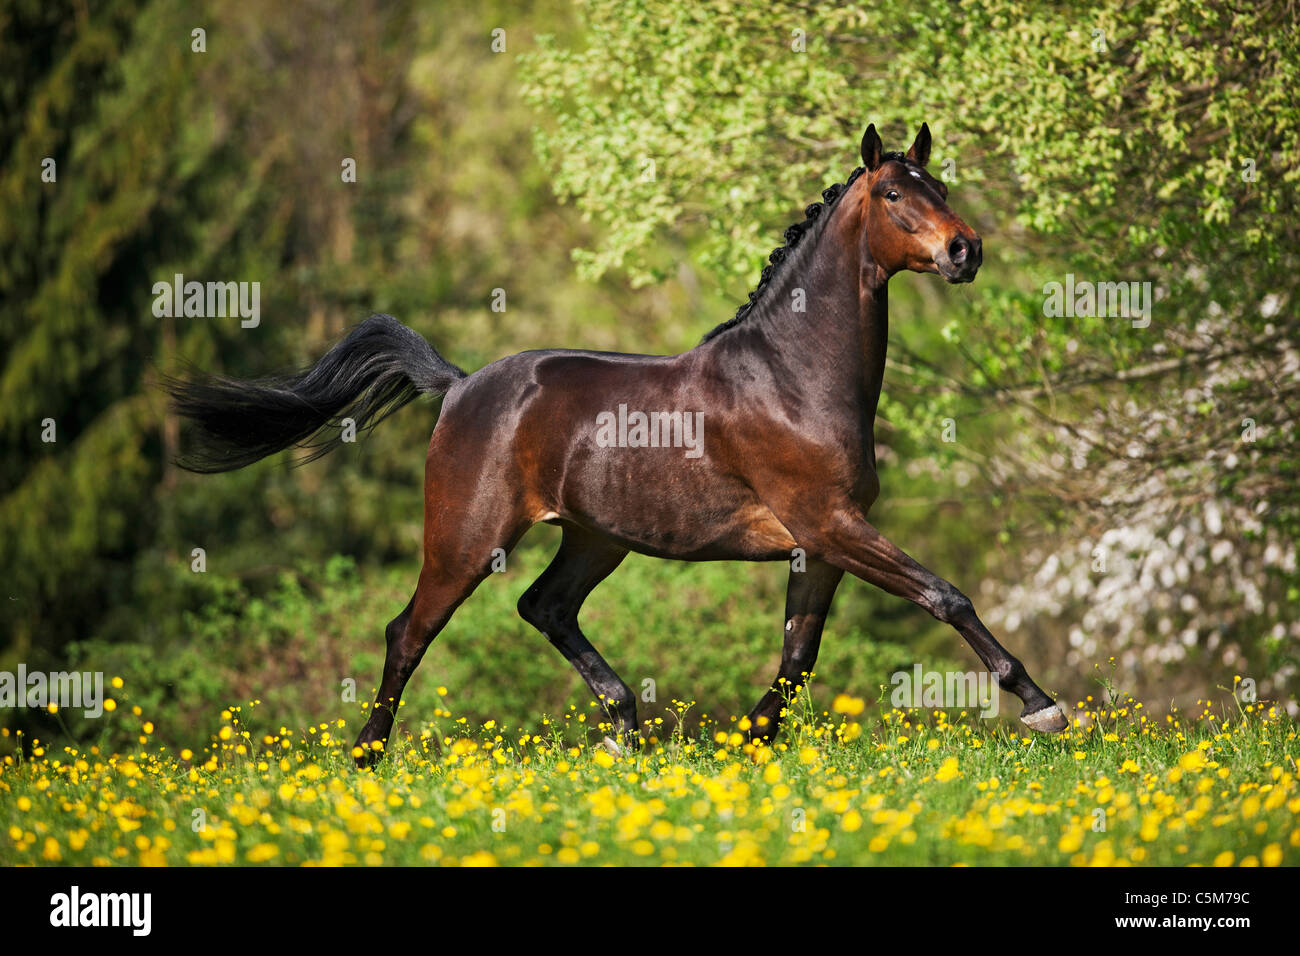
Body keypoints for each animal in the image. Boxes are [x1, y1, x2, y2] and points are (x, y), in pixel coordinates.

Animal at [167, 123, 1069, 765]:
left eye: (939, 185)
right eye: (892, 194)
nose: (965, 250)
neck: (792, 376)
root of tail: (459, 386)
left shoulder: (818, 544)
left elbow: (799, 653)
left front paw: (748, 744)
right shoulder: (832, 525)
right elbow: (945, 595)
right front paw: (1044, 705)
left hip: (595, 538)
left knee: (544, 606)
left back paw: (625, 727)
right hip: (466, 538)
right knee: (408, 633)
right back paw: (366, 757)